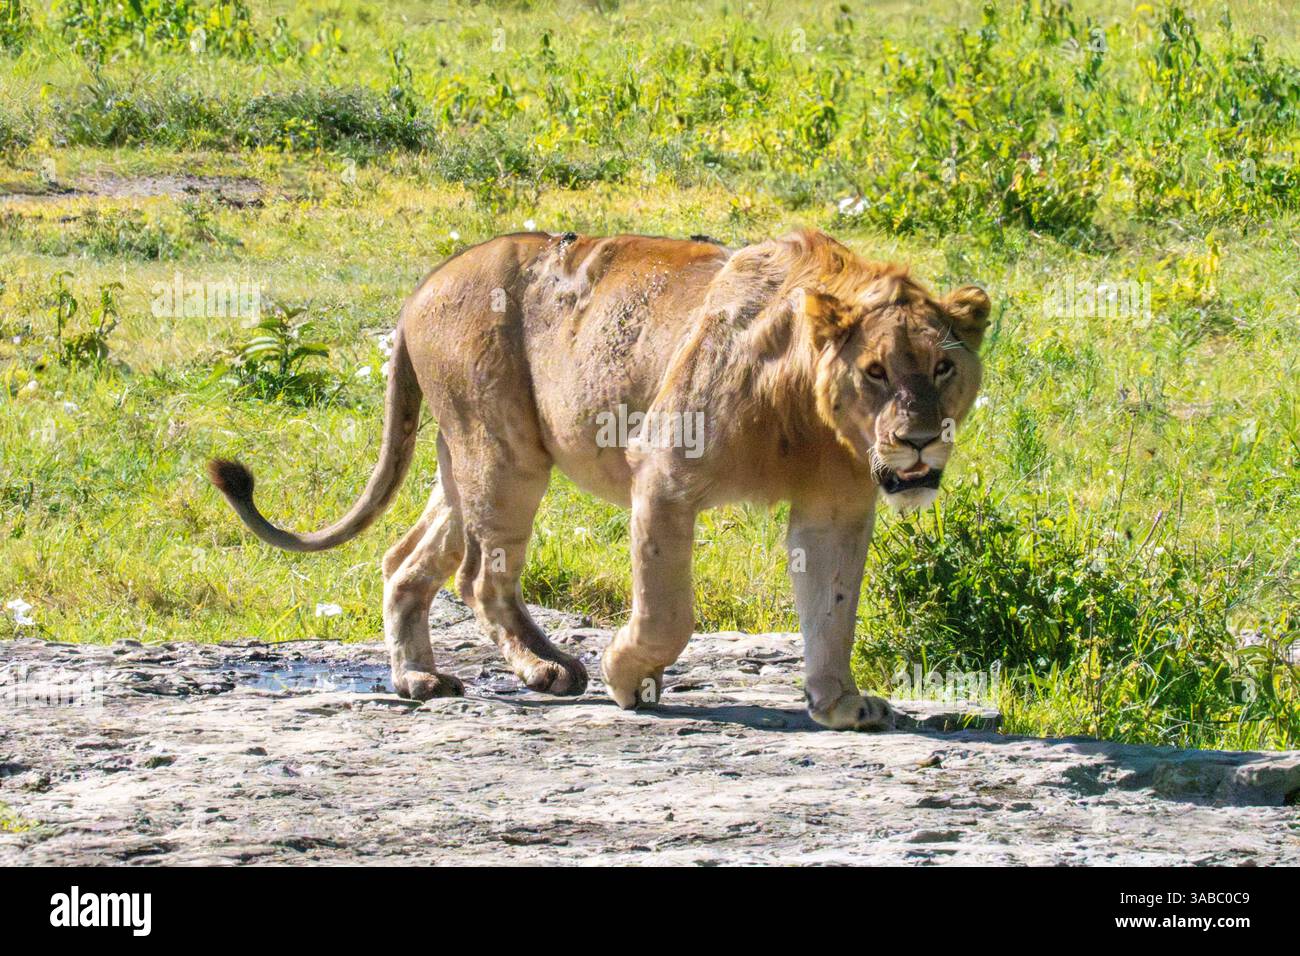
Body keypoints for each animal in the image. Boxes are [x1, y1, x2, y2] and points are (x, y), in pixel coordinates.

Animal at [207, 229, 989, 730]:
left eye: (943, 367)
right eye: (876, 371)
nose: (919, 439)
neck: (812, 412)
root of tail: (422, 286)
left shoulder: (836, 506)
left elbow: (833, 610)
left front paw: (838, 705)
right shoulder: (665, 475)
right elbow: (669, 613)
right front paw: (625, 674)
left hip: (466, 461)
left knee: (405, 560)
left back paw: (417, 679)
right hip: (506, 453)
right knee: (479, 577)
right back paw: (549, 669)